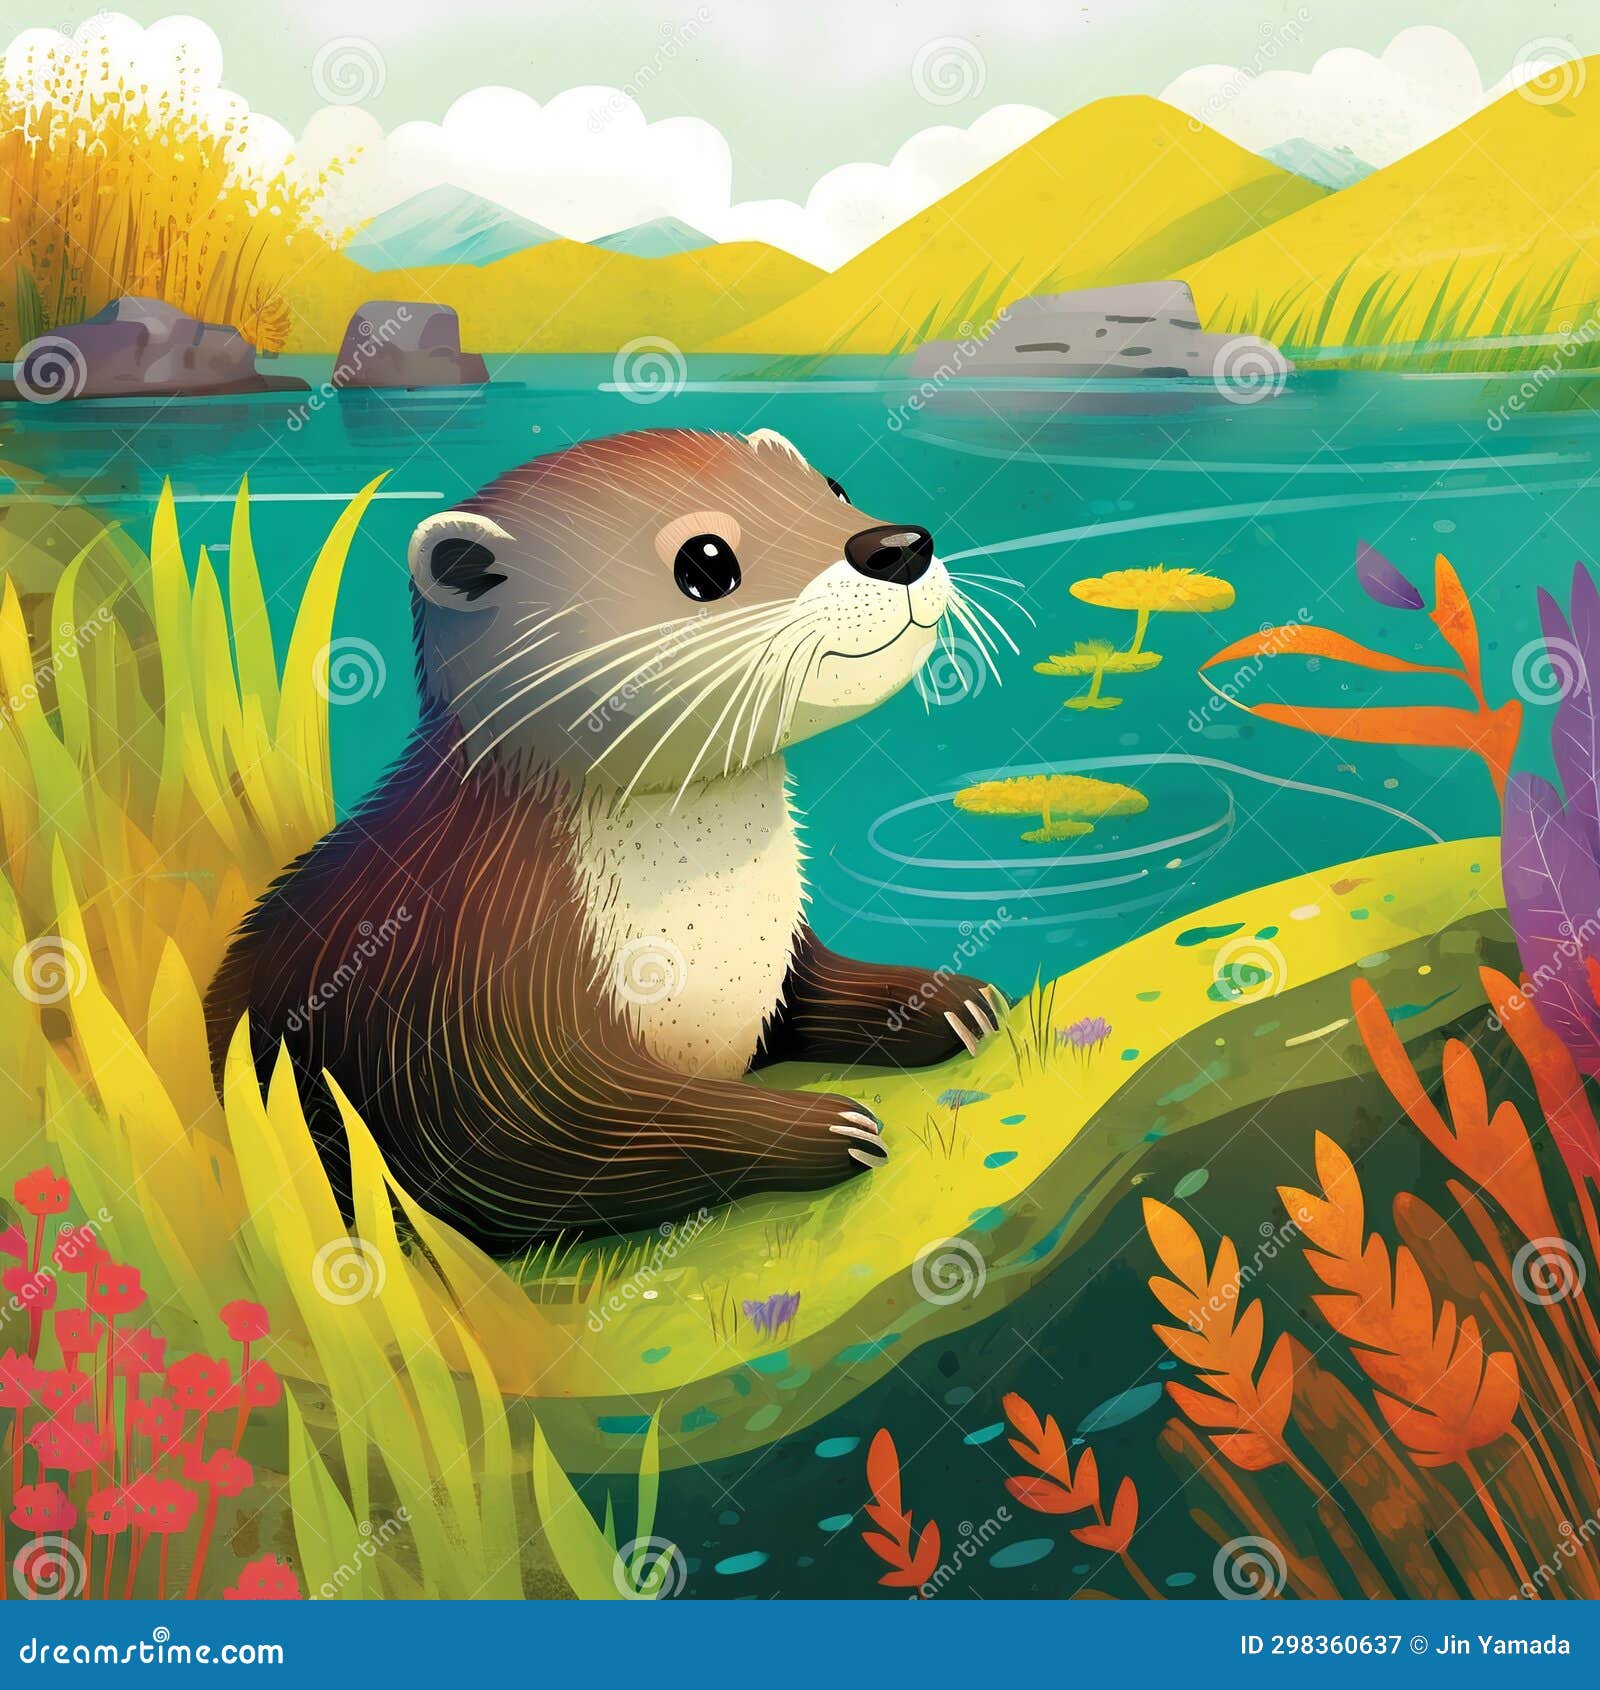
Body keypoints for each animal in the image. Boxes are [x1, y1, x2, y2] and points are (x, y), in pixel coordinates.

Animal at [205, 427, 1005, 1254]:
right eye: (705, 561)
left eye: (835, 488)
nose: (897, 545)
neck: (704, 928)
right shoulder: (475, 1013)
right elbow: (570, 1141)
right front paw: (820, 1126)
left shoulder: (778, 954)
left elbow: (820, 986)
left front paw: (942, 998)